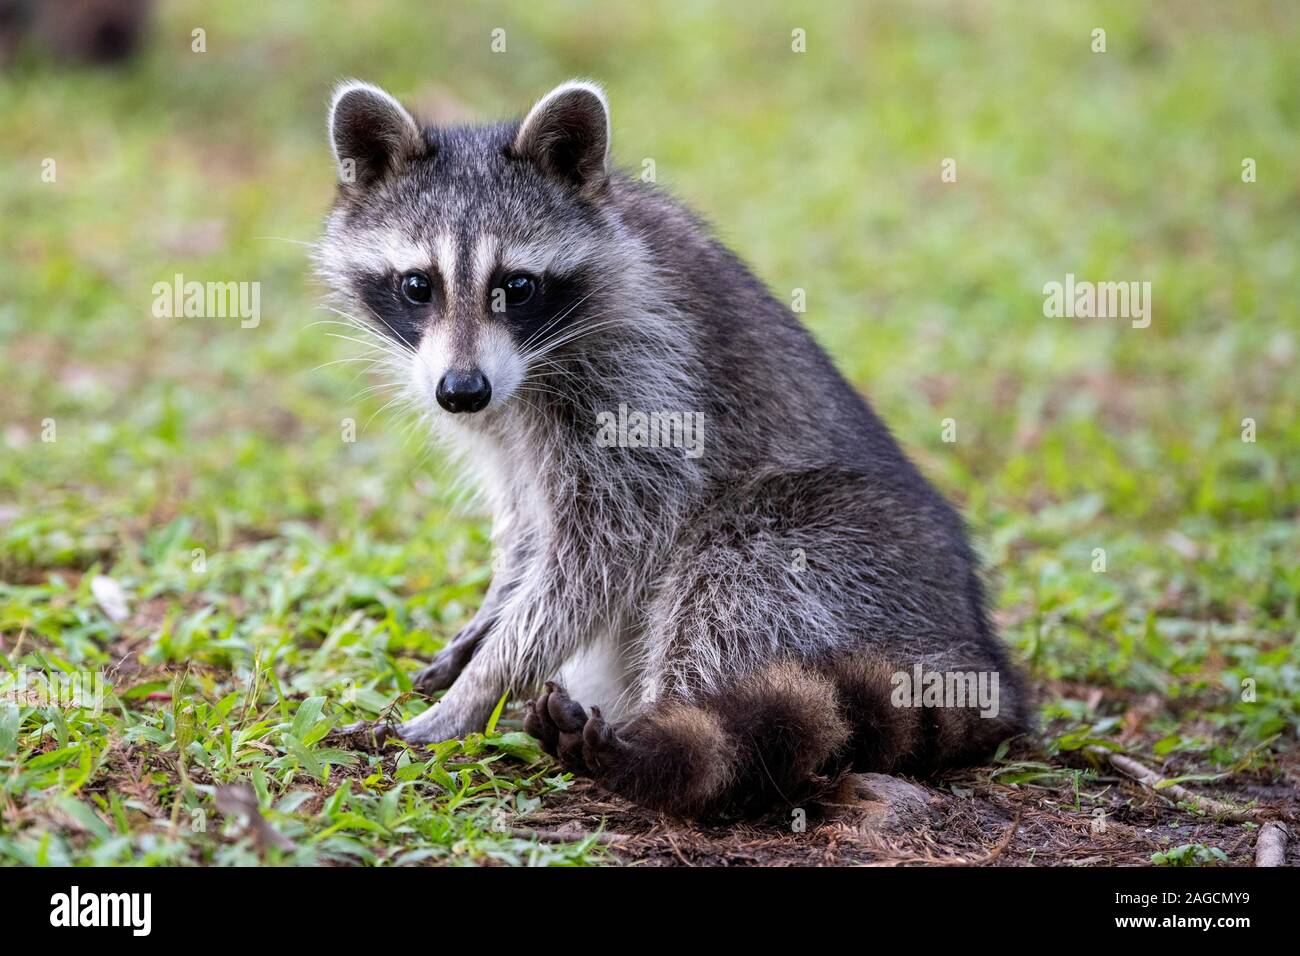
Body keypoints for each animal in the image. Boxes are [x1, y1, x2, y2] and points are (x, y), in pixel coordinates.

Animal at [316, 79, 1030, 819]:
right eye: (417, 285)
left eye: (516, 286)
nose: (461, 392)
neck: (529, 370)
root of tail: (978, 659)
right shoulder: (506, 423)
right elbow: (527, 526)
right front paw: (489, 618)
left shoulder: (648, 373)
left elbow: (603, 553)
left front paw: (482, 685)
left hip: (844, 551)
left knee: (729, 579)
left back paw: (664, 755)